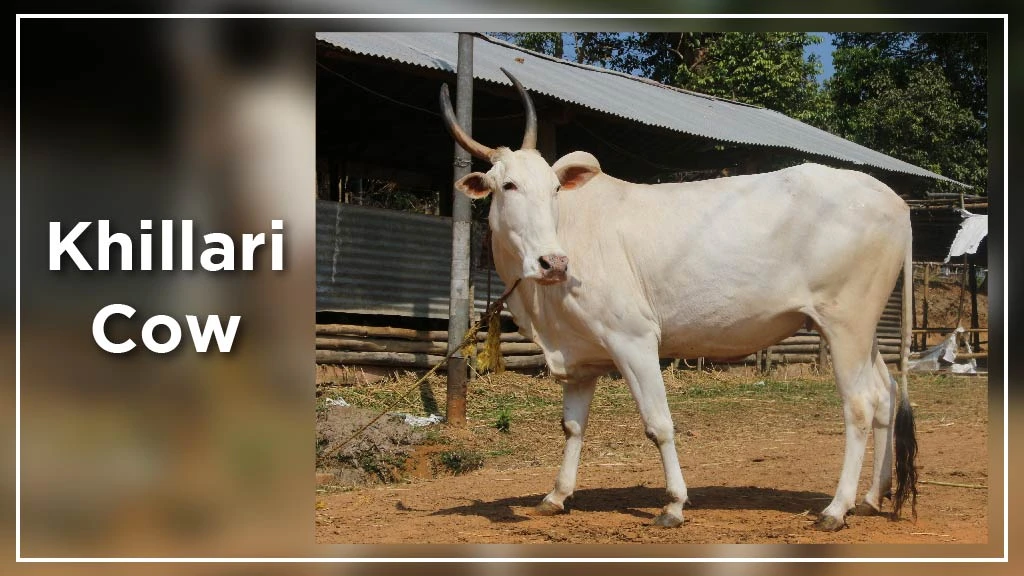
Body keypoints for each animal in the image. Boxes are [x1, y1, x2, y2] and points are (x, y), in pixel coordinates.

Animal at [439, 68, 917, 531]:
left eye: (554, 189)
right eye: (509, 186)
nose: (553, 262)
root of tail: (898, 203)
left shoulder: (633, 339)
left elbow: (659, 424)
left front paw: (673, 504)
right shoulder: (582, 356)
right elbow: (573, 427)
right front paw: (556, 496)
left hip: (846, 323)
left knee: (859, 405)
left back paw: (836, 508)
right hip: (861, 330)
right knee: (886, 393)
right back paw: (872, 498)